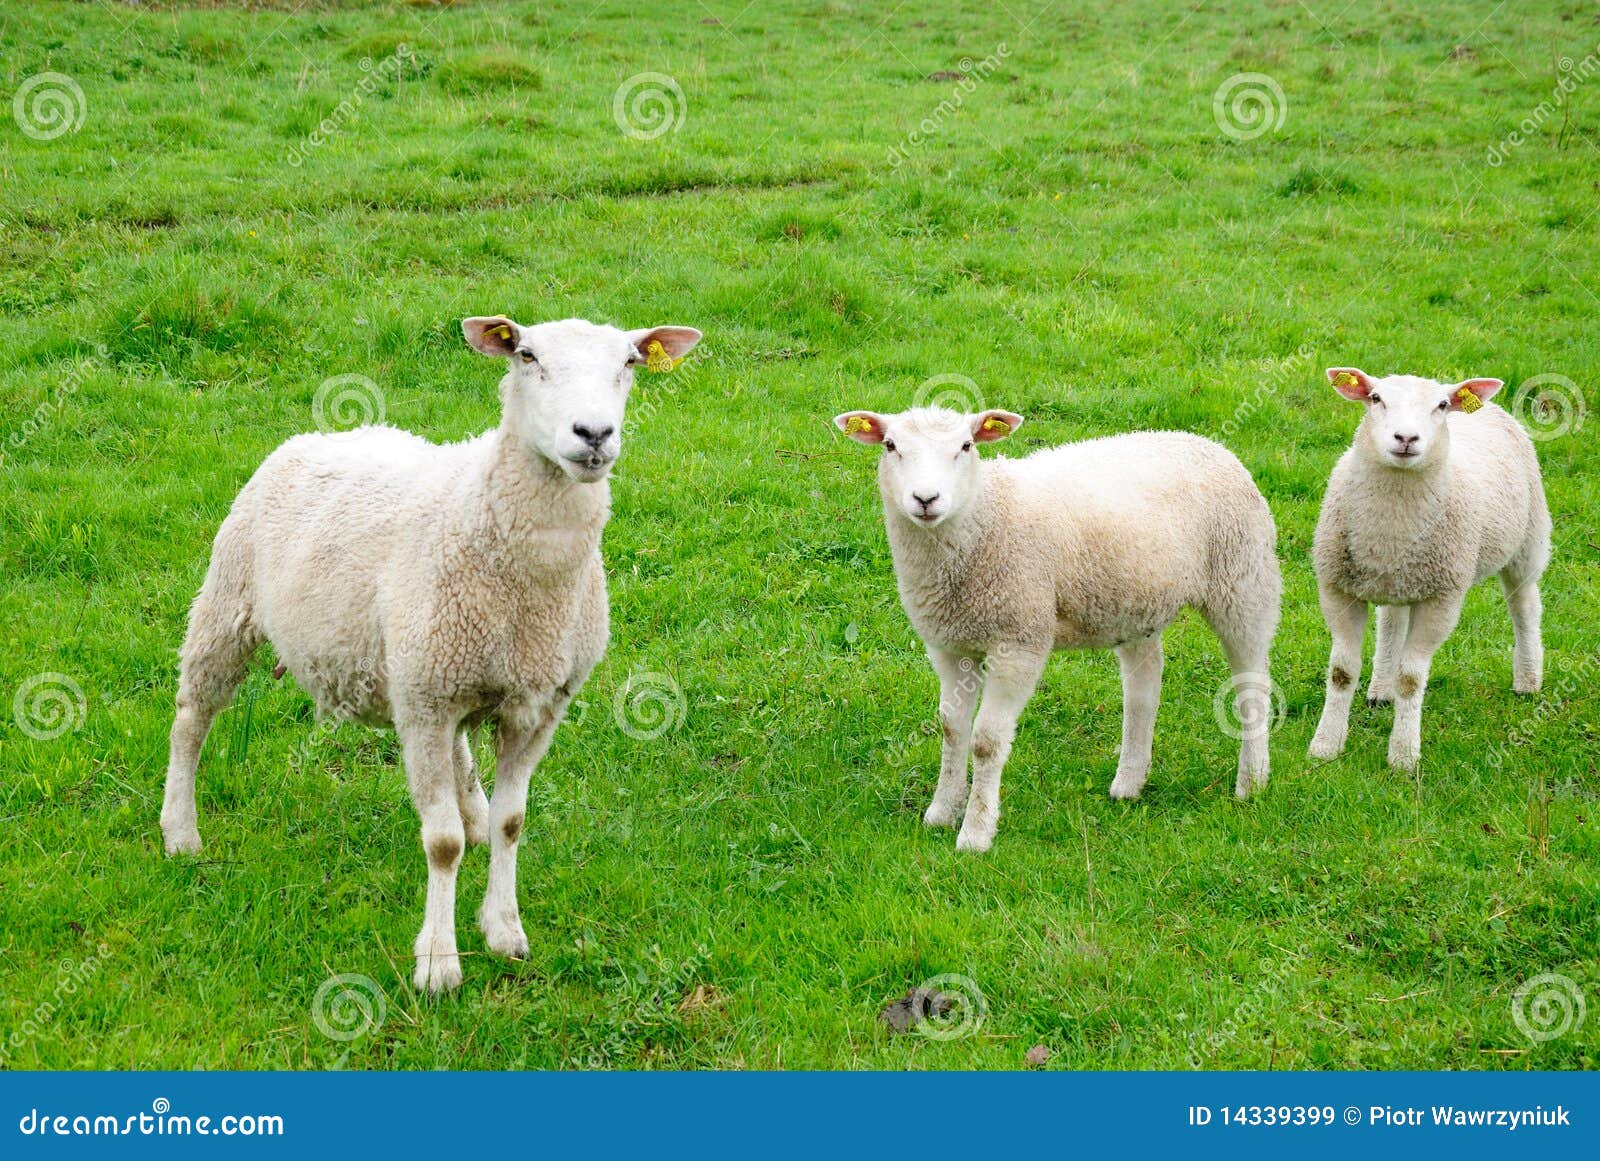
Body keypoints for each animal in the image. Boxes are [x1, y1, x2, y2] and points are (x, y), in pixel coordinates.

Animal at [159, 315, 701, 994]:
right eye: (527, 356)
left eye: (629, 362)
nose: (594, 434)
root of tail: (324, 433)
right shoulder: (423, 703)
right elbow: (441, 844)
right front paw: (439, 964)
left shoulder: (538, 706)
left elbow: (511, 823)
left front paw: (503, 929)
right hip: (230, 603)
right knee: (191, 717)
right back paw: (179, 830)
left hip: (440, 668)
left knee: (462, 755)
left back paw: (473, 808)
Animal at [833, 406, 1282, 853]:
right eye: (890, 446)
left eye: (966, 446)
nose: (926, 500)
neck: (983, 517)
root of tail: (1207, 443)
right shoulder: (948, 645)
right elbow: (952, 730)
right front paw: (941, 813)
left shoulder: (1020, 641)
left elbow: (986, 741)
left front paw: (975, 833)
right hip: (1135, 603)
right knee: (1145, 687)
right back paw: (1129, 781)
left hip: (1243, 580)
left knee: (1252, 685)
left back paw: (1252, 782)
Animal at [1308, 368, 1551, 770]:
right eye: (1376, 398)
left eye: (1440, 406)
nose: (1406, 438)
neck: (1391, 528)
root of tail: (1488, 408)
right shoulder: (1337, 589)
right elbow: (1341, 673)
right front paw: (1325, 747)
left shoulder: (1442, 598)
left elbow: (1411, 679)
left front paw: (1403, 757)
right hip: (1403, 579)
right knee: (1392, 621)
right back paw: (1380, 690)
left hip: (1527, 542)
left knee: (1525, 608)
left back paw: (1528, 681)